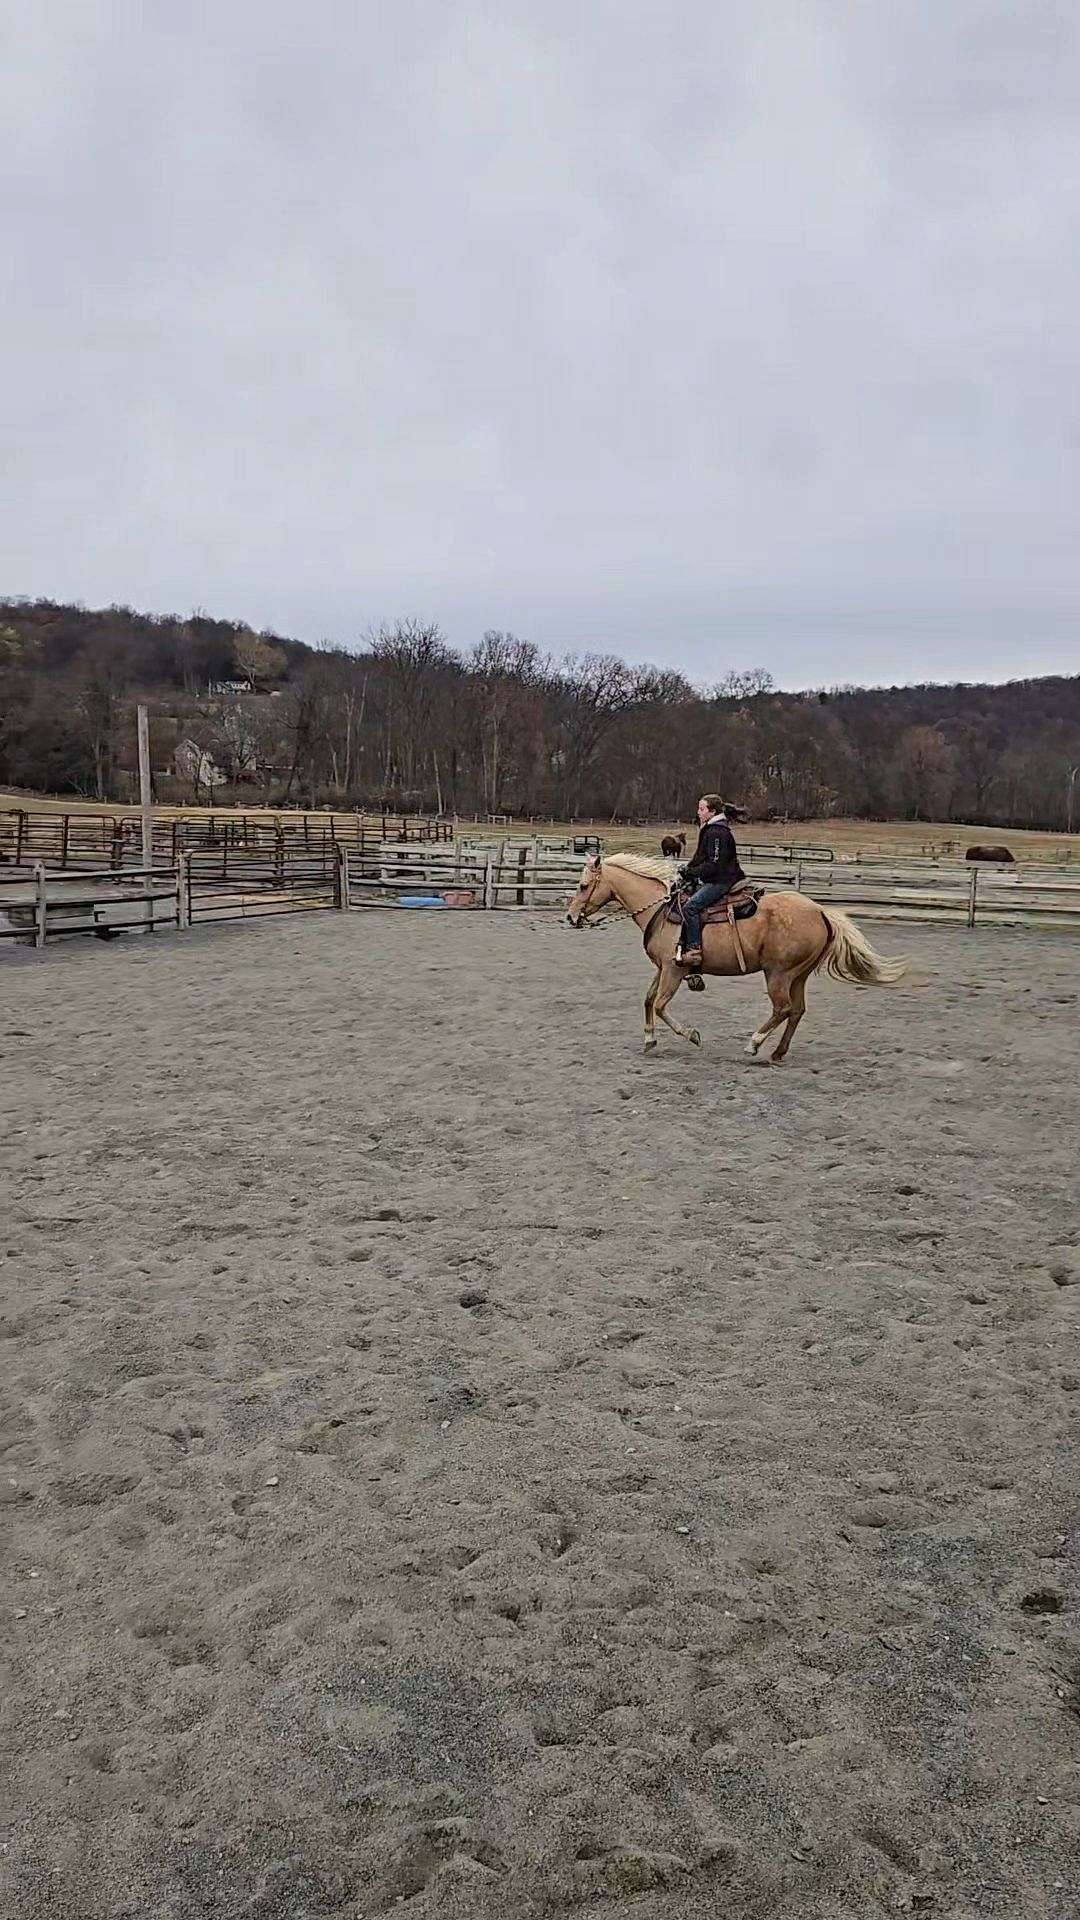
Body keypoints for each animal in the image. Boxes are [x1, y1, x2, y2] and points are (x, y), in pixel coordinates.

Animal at [566, 854, 906, 1062]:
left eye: (583, 885)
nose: (570, 917)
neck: (661, 910)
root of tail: (821, 911)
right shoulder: (663, 968)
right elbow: (649, 1000)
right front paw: (649, 1039)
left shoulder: (674, 971)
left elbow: (661, 1005)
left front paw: (691, 1035)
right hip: (799, 975)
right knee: (797, 1010)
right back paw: (777, 1053)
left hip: (778, 974)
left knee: (783, 1008)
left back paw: (754, 1044)